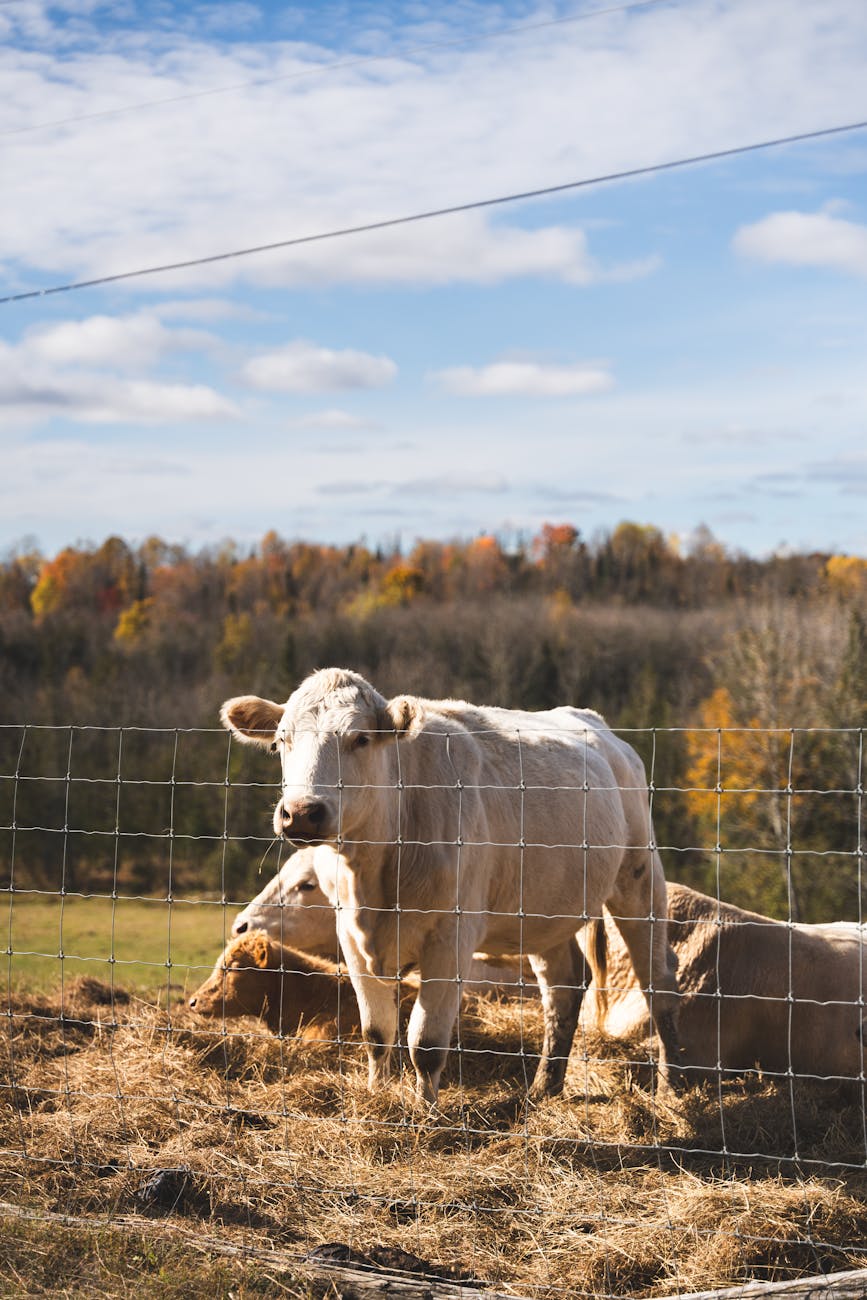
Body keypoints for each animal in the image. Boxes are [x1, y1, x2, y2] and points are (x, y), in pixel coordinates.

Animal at [220, 668, 680, 1103]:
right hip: (543, 907)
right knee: (563, 987)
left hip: (639, 876)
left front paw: (425, 1112)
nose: (300, 812)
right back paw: (543, 1088)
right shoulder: (349, 936)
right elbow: (376, 1033)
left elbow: (425, 1043)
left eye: (361, 738)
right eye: (281, 742)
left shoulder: (451, 937)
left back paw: (672, 1089)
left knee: (658, 982)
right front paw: (376, 1098)